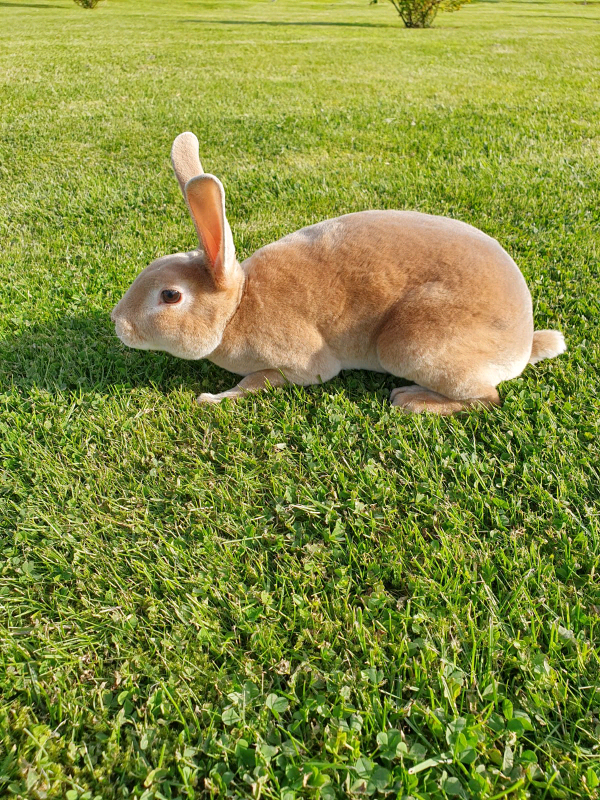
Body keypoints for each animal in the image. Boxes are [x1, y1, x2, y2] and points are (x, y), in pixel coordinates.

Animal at [111, 132, 566, 414]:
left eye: (170, 296)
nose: (117, 323)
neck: (237, 308)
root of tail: (523, 344)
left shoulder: (299, 364)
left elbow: (258, 382)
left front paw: (214, 398)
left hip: (410, 343)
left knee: (487, 397)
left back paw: (411, 400)